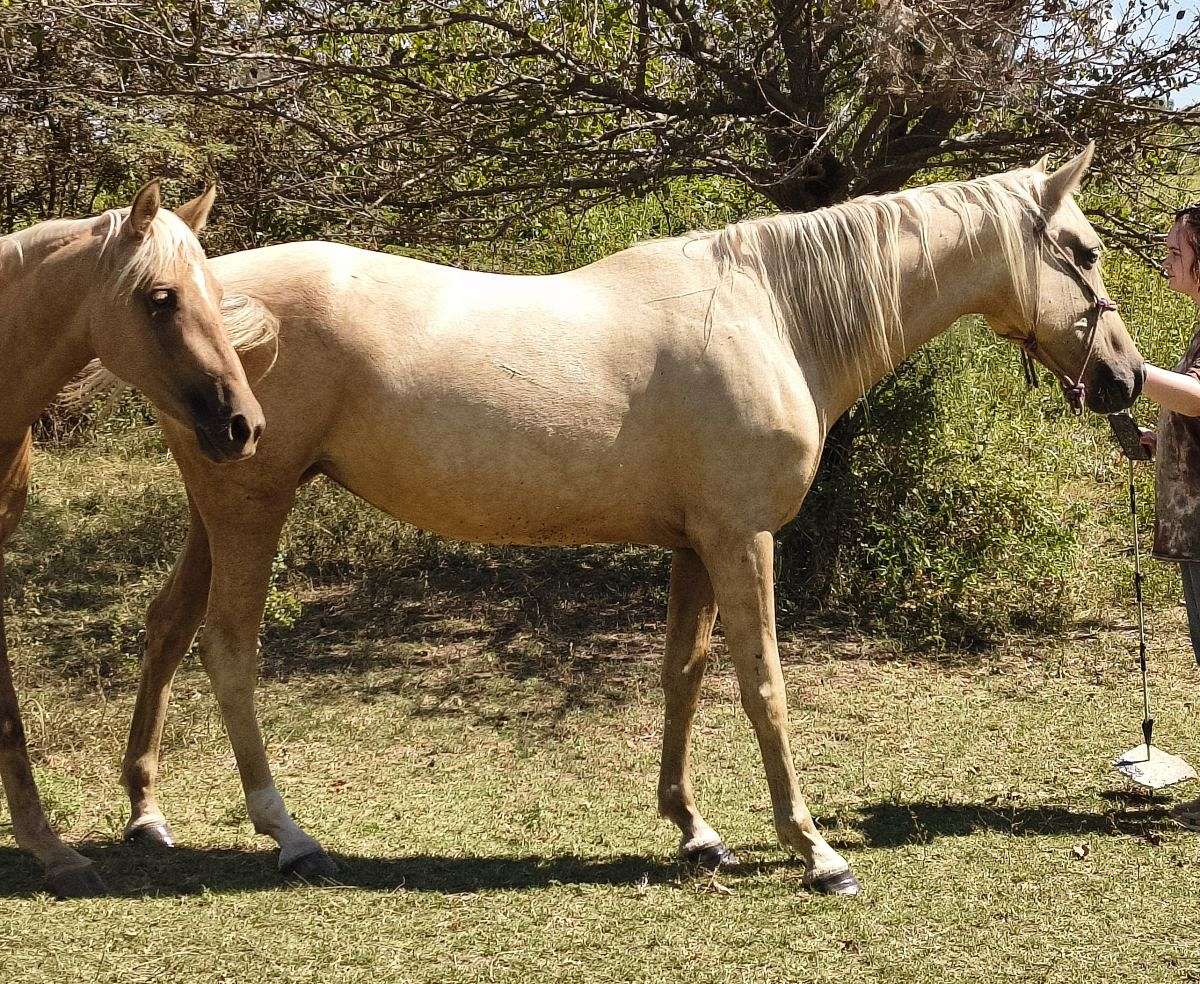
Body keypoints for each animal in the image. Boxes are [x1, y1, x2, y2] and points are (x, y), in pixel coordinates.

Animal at [112, 146, 1142, 896]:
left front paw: (695, 830)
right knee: (228, 648)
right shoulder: (742, 540)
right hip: (252, 507)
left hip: (219, 507)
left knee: (168, 630)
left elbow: (683, 677)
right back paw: (288, 834)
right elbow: (764, 687)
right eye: (1085, 252)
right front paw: (815, 850)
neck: (773, 315)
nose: (1128, 378)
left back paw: (145, 813)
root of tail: (197, 283)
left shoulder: (695, 546)